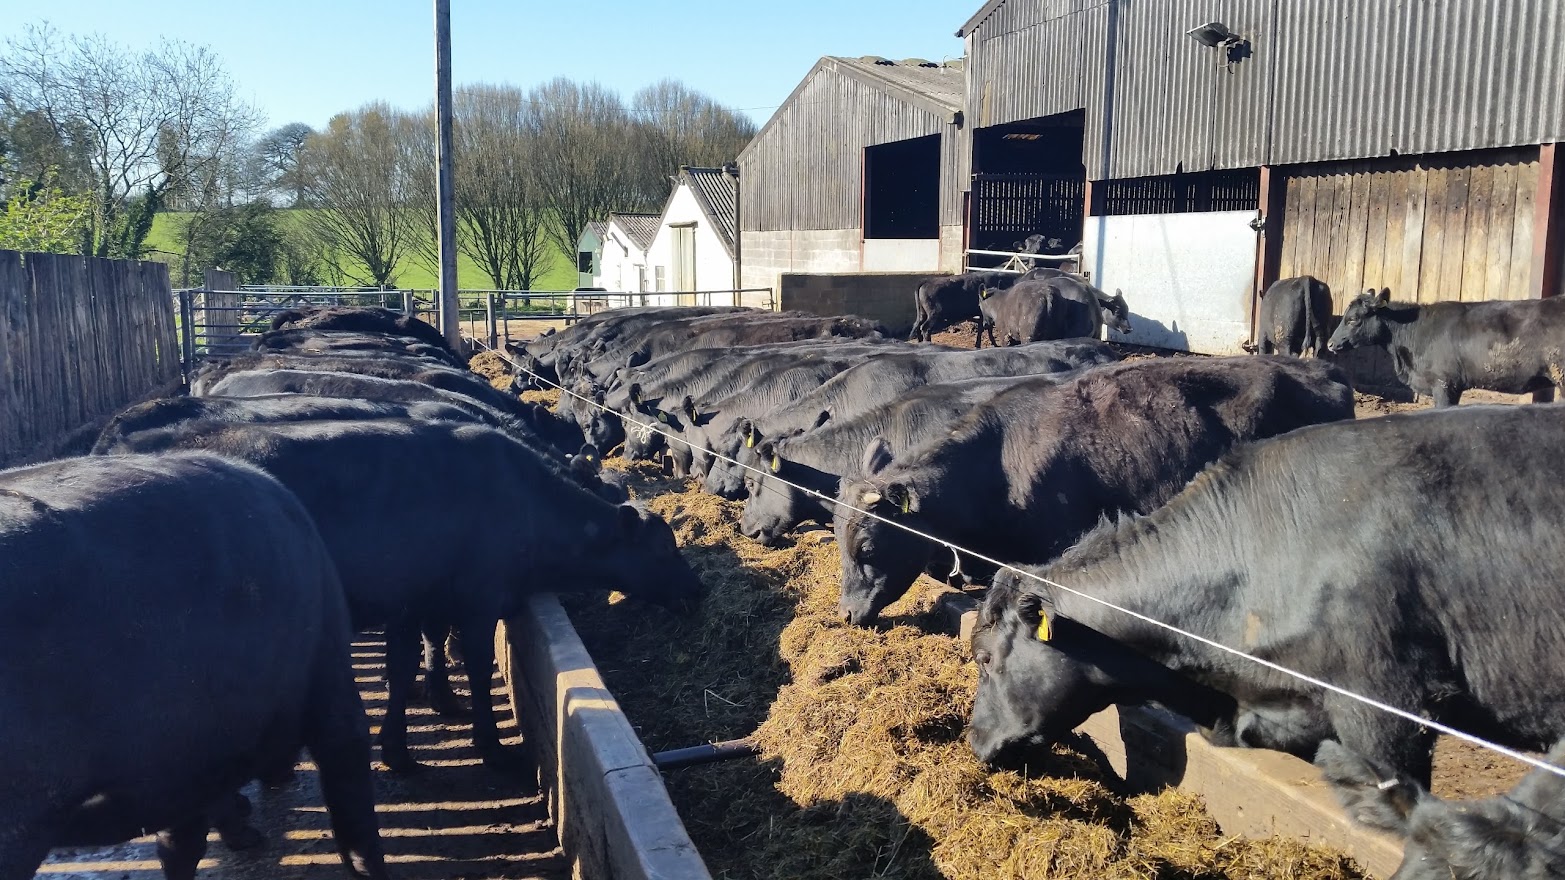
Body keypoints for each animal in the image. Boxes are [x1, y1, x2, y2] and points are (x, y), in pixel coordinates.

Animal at [97, 419, 703, 775]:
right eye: (664, 547)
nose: (697, 589)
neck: (523, 497)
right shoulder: (478, 600)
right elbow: (474, 667)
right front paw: (487, 742)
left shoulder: (414, 600)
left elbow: (404, 664)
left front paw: (398, 744)